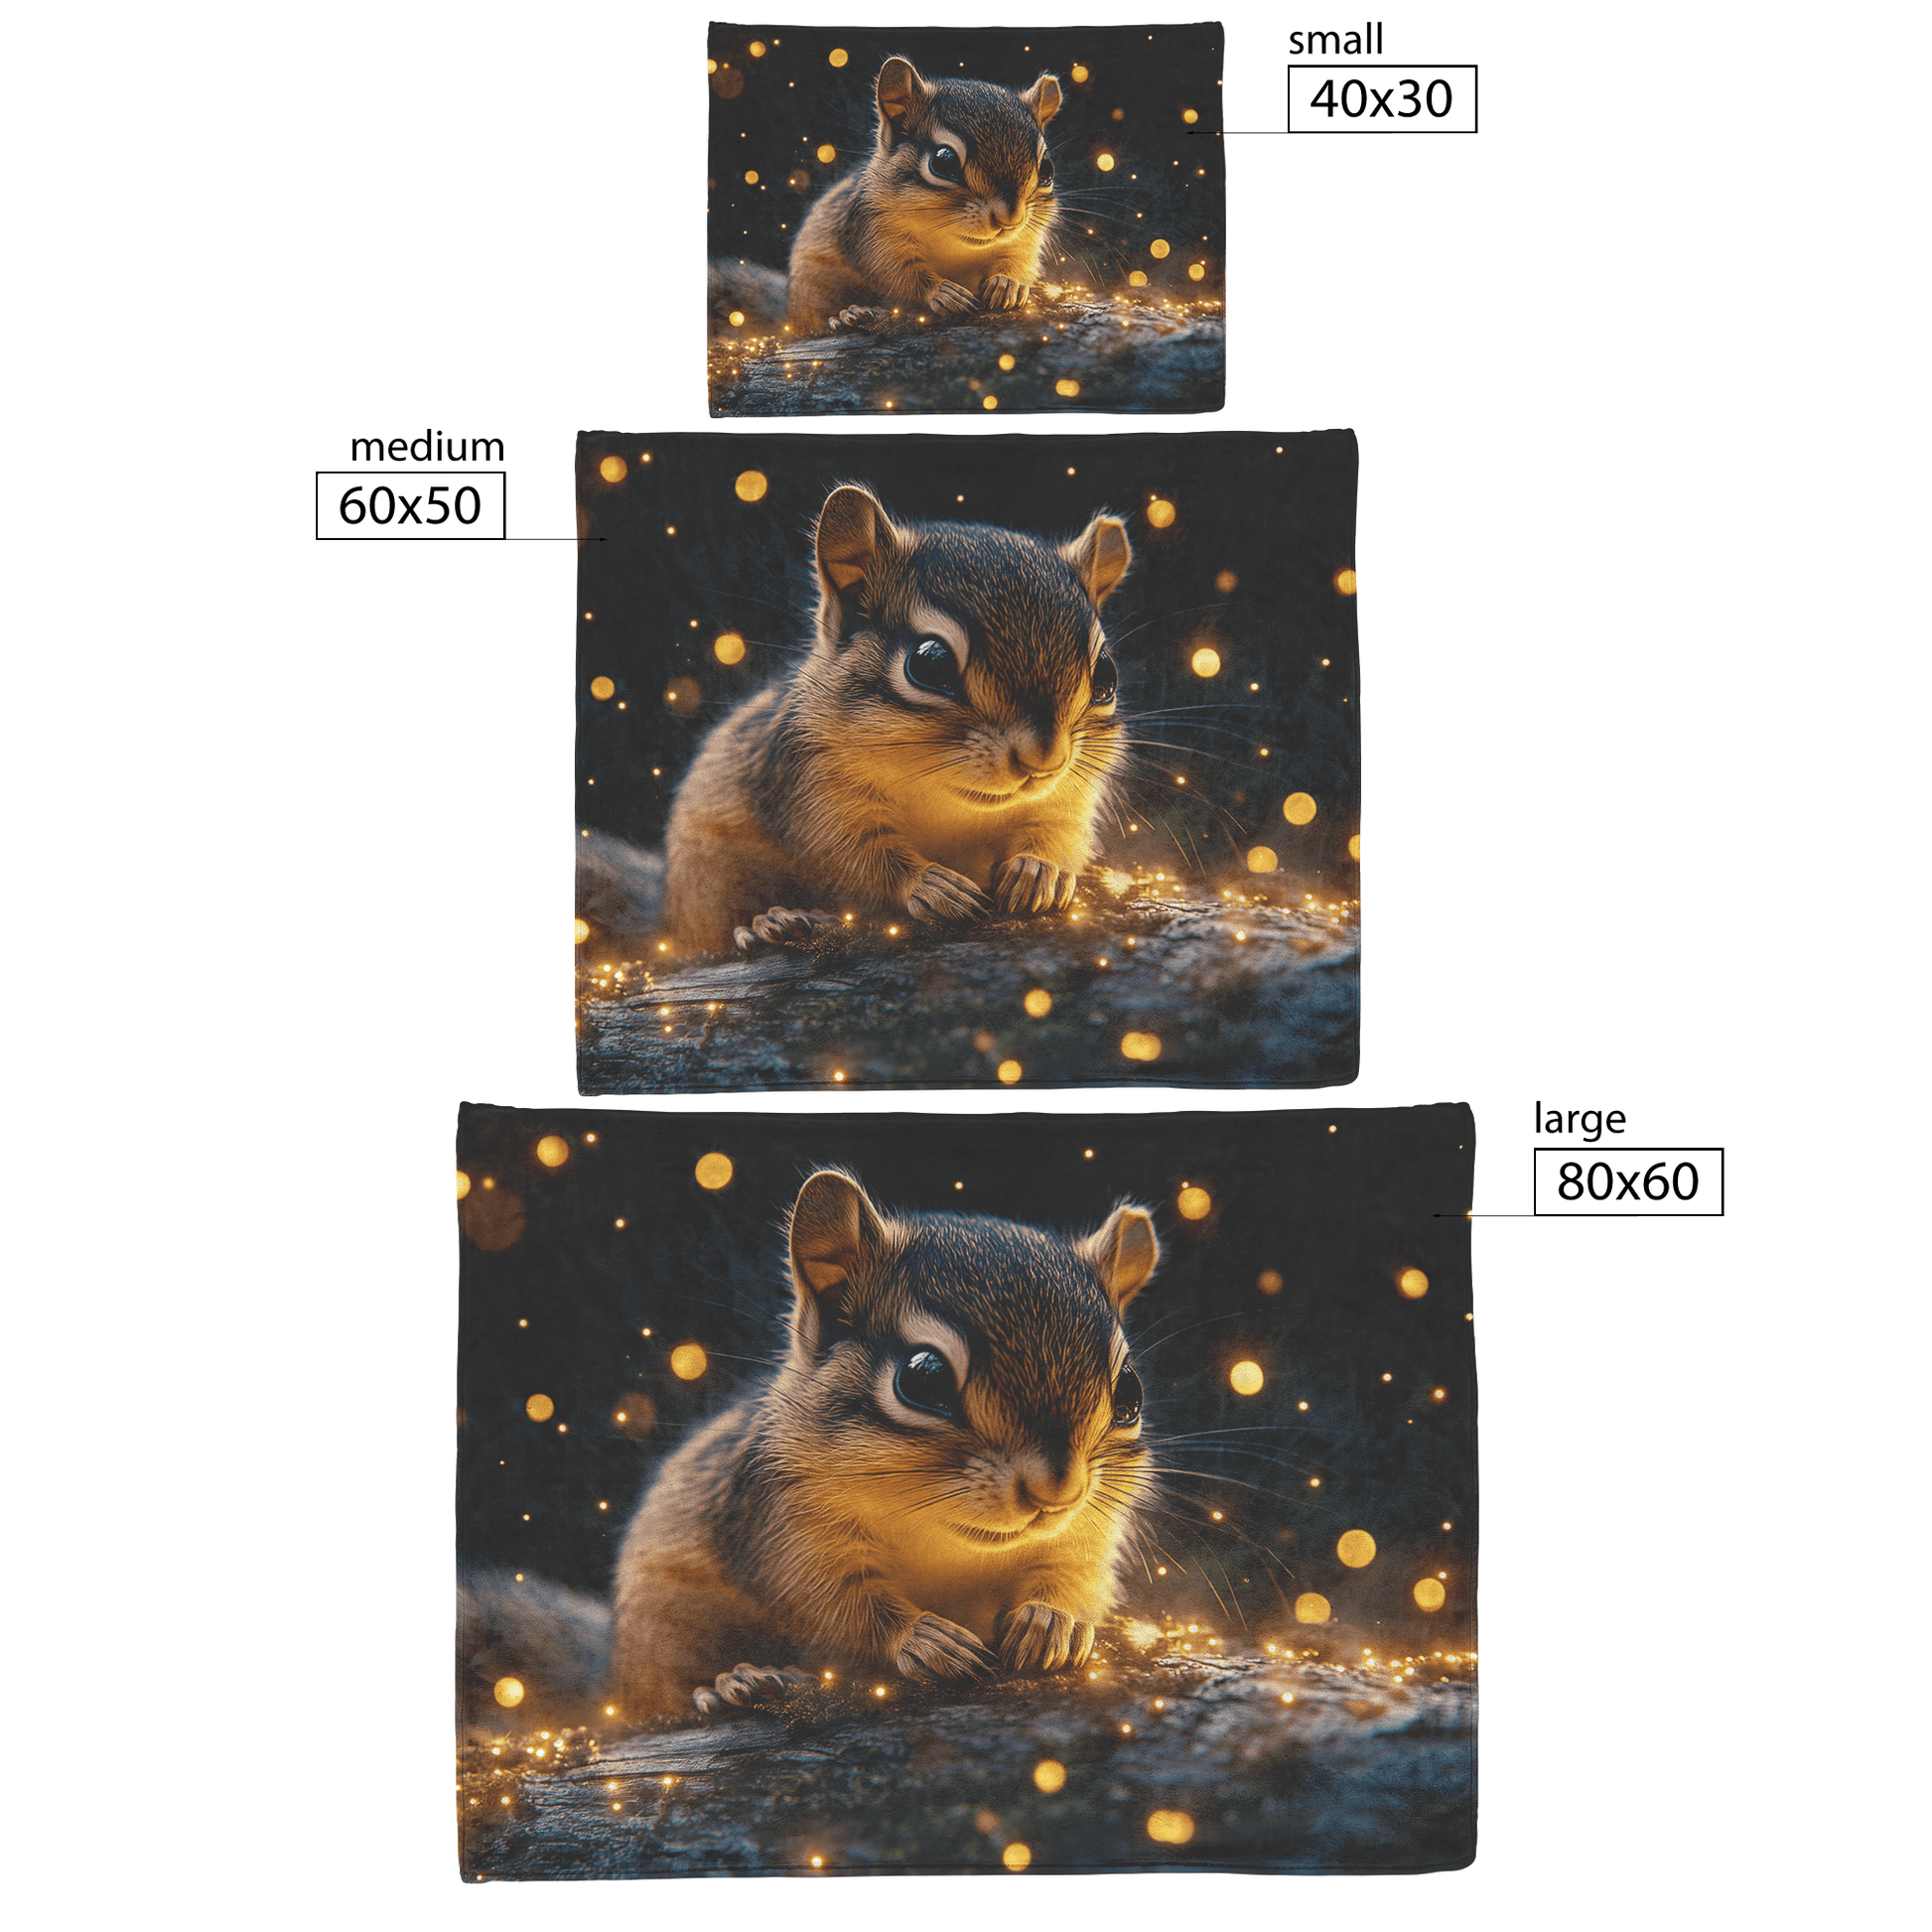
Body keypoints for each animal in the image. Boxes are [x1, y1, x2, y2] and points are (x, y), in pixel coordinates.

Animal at [461, 1170, 1162, 1724]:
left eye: (1130, 1391)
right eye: (923, 1378)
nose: (1058, 1490)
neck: (944, 1541)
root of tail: (610, 1677)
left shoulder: (1086, 1532)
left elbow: (1072, 1575)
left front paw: (1053, 1621)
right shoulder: (781, 1522)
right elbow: (832, 1601)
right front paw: (919, 1637)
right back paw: (735, 1684)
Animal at [648, 483, 1133, 955]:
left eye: (1107, 674)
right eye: (931, 663)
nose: (1045, 760)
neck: (948, 802)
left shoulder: (1069, 795)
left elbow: (1059, 832)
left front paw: (1039, 869)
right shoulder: (811, 790)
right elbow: (855, 856)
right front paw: (928, 883)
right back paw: (768, 923)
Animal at [709, 57, 1062, 336]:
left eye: (1047, 168)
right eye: (944, 161)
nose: (1010, 217)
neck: (954, 243)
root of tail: (788, 309)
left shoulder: (1025, 239)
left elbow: (1018, 261)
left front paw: (1008, 283)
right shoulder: (872, 232)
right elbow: (897, 273)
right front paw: (942, 291)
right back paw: (848, 315)